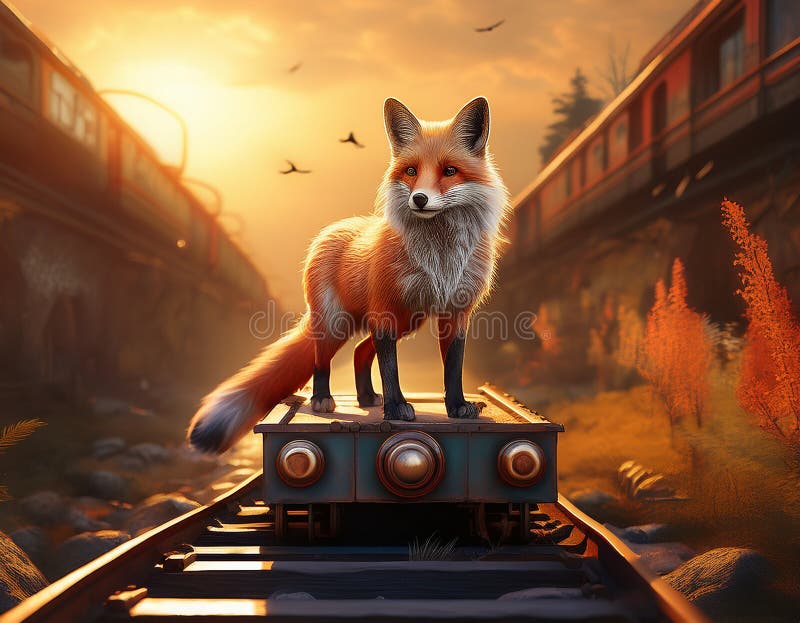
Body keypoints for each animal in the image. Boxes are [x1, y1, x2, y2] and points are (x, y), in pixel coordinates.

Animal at [187, 96, 510, 453]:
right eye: (411, 171)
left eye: (449, 171)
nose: (419, 199)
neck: (439, 257)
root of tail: (333, 228)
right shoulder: (385, 309)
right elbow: (390, 369)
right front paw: (396, 409)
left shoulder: (455, 312)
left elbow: (452, 368)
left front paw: (457, 408)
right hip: (337, 322)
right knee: (321, 357)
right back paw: (322, 399)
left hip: (405, 321)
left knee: (359, 352)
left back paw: (366, 398)